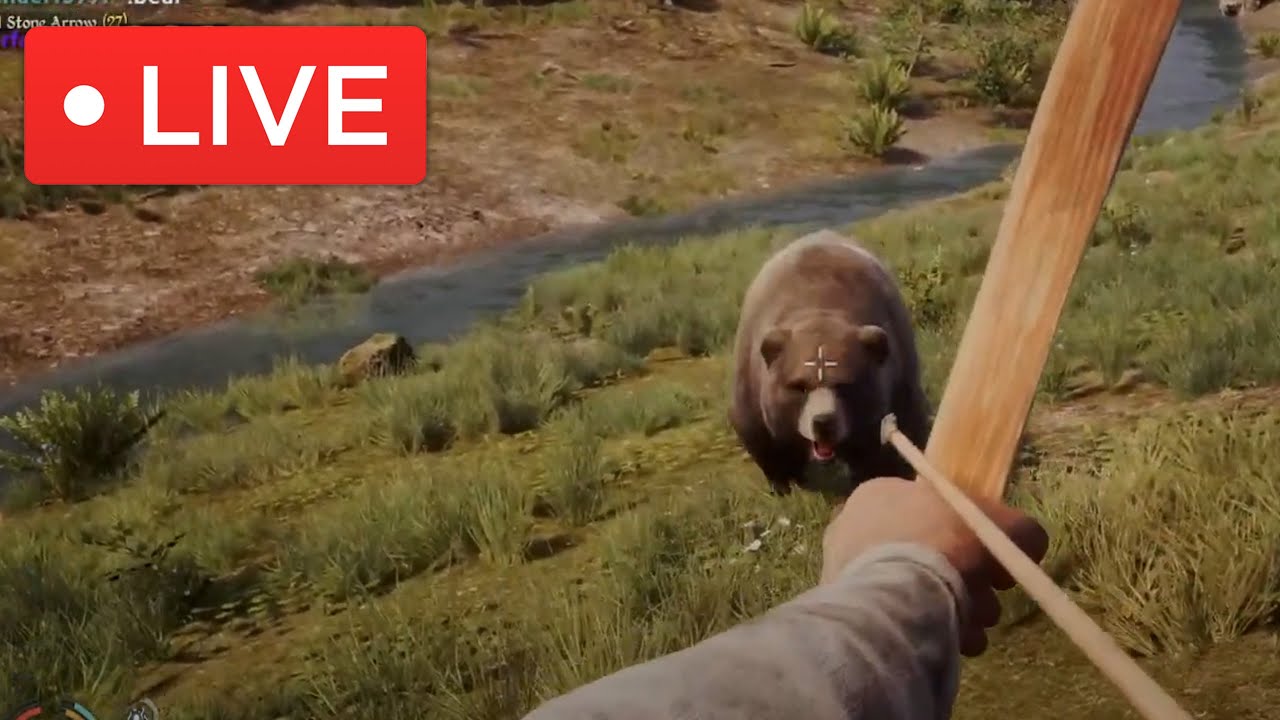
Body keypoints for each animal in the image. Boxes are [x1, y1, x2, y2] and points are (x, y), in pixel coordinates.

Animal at [728, 229, 932, 496]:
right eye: (799, 386)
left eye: (845, 384)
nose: (823, 422)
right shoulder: (752, 379)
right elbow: (763, 439)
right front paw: (784, 484)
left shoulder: (897, 373)